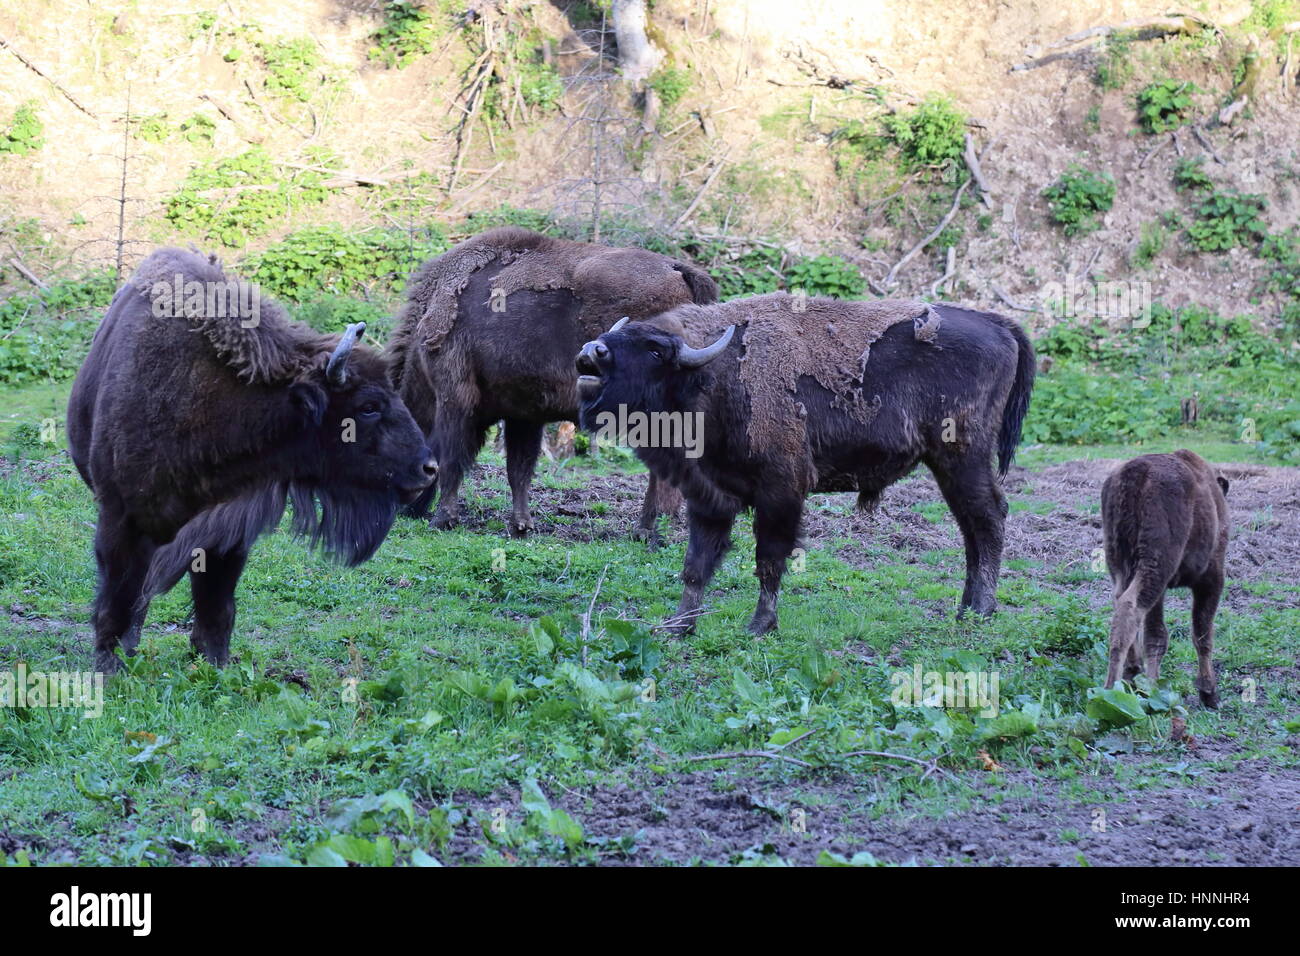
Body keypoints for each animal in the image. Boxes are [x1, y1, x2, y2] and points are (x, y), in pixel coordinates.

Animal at [67, 248, 436, 672]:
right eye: (369, 406)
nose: (428, 469)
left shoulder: (229, 531)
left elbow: (217, 605)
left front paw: (215, 664)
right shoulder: (121, 522)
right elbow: (117, 601)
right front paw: (109, 667)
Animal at [386, 226, 718, 541]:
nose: (401, 510)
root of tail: (678, 268)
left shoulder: (455, 399)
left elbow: (452, 460)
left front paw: (443, 519)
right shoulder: (522, 415)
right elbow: (518, 470)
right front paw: (521, 525)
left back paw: (645, 530)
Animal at [576, 294, 1034, 635]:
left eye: (654, 349)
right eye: (617, 335)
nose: (590, 353)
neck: (716, 375)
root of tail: (999, 325)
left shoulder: (780, 493)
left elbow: (769, 560)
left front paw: (760, 625)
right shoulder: (709, 496)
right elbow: (696, 564)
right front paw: (678, 626)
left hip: (962, 458)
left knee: (988, 519)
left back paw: (981, 612)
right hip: (950, 467)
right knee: (972, 528)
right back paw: (966, 610)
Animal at [1101, 450, 1229, 707]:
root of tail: (1135, 472)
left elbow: (1156, 635)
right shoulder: (1212, 577)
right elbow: (1202, 634)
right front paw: (1208, 692)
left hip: (1121, 564)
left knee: (1121, 605)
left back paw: (1131, 674)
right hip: (1156, 565)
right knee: (1130, 606)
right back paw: (1112, 689)